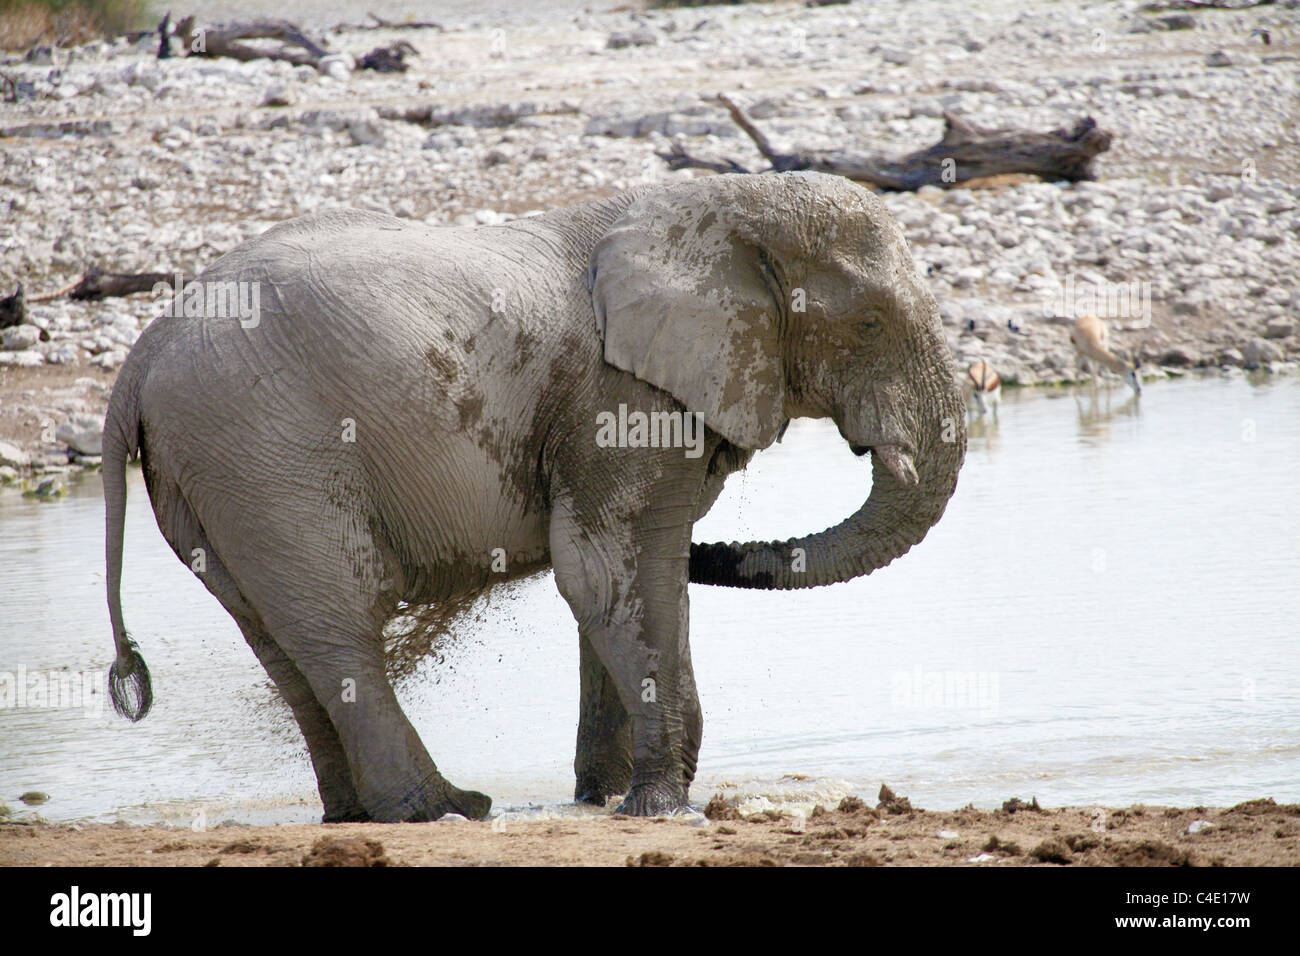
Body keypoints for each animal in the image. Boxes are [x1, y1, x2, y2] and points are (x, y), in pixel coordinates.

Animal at [102, 171, 967, 821]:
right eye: (869, 323)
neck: (724, 204)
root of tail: (139, 358)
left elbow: (615, 582)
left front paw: (604, 799)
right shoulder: (619, 398)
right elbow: (607, 568)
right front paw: (661, 809)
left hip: (209, 476)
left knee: (281, 643)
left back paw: (360, 814)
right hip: (263, 454)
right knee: (338, 624)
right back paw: (441, 809)